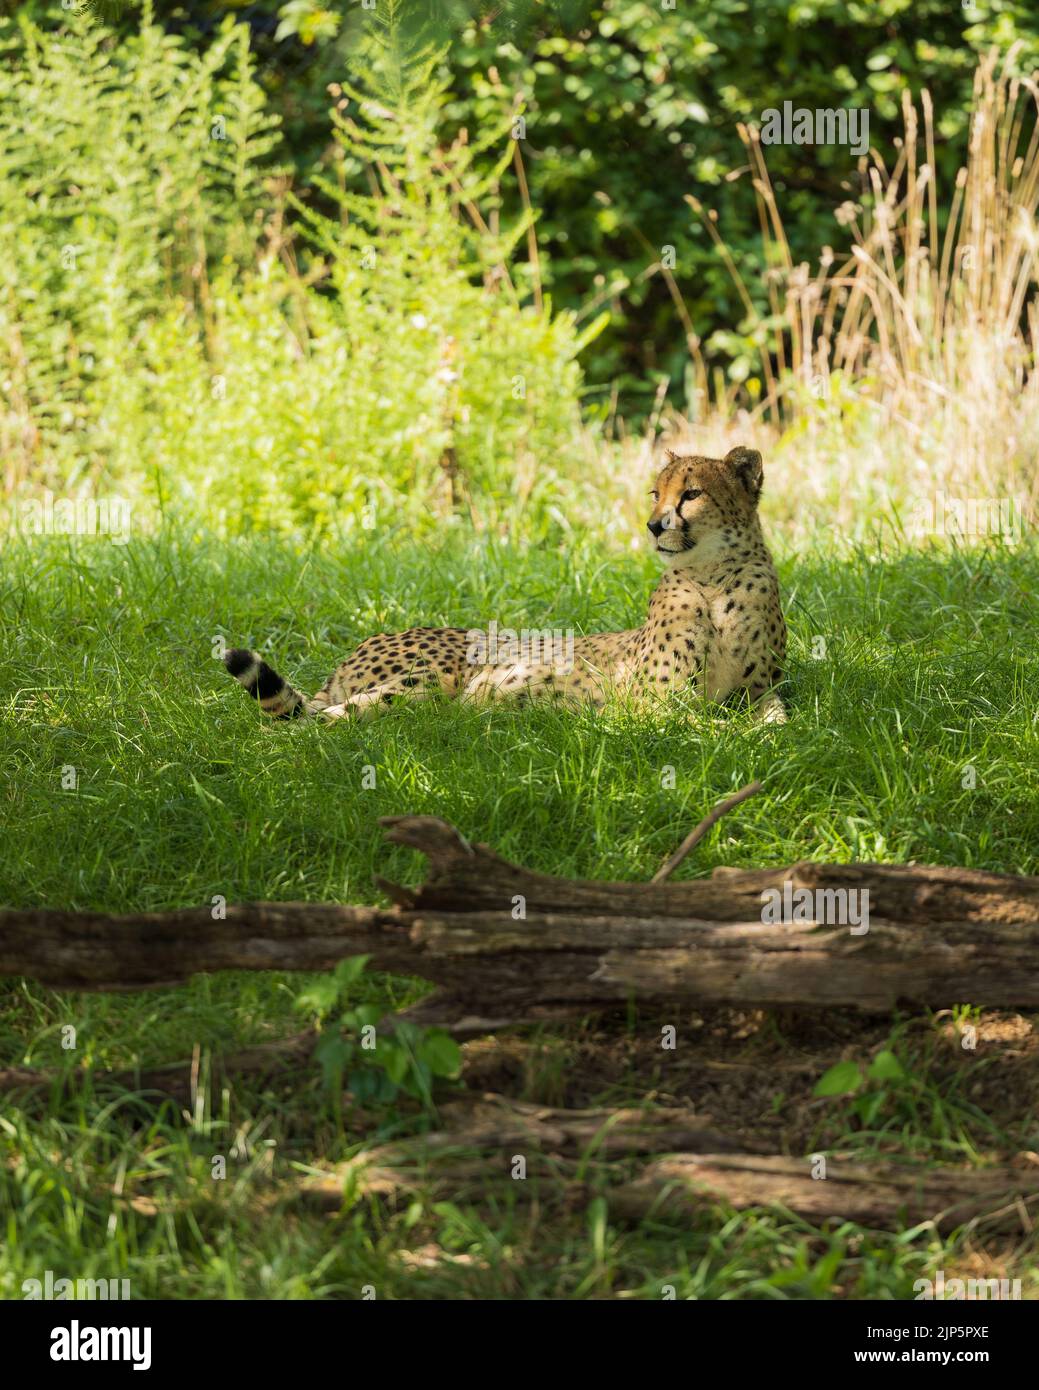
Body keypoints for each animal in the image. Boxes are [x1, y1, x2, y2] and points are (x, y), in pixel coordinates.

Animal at [223, 445, 787, 724]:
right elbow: (704, 725)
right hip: (430, 679)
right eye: (656, 493)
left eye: (691, 494)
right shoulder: (648, 704)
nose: (653, 525)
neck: (714, 580)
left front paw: (767, 731)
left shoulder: (759, 690)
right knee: (318, 719)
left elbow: (778, 714)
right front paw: (732, 735)